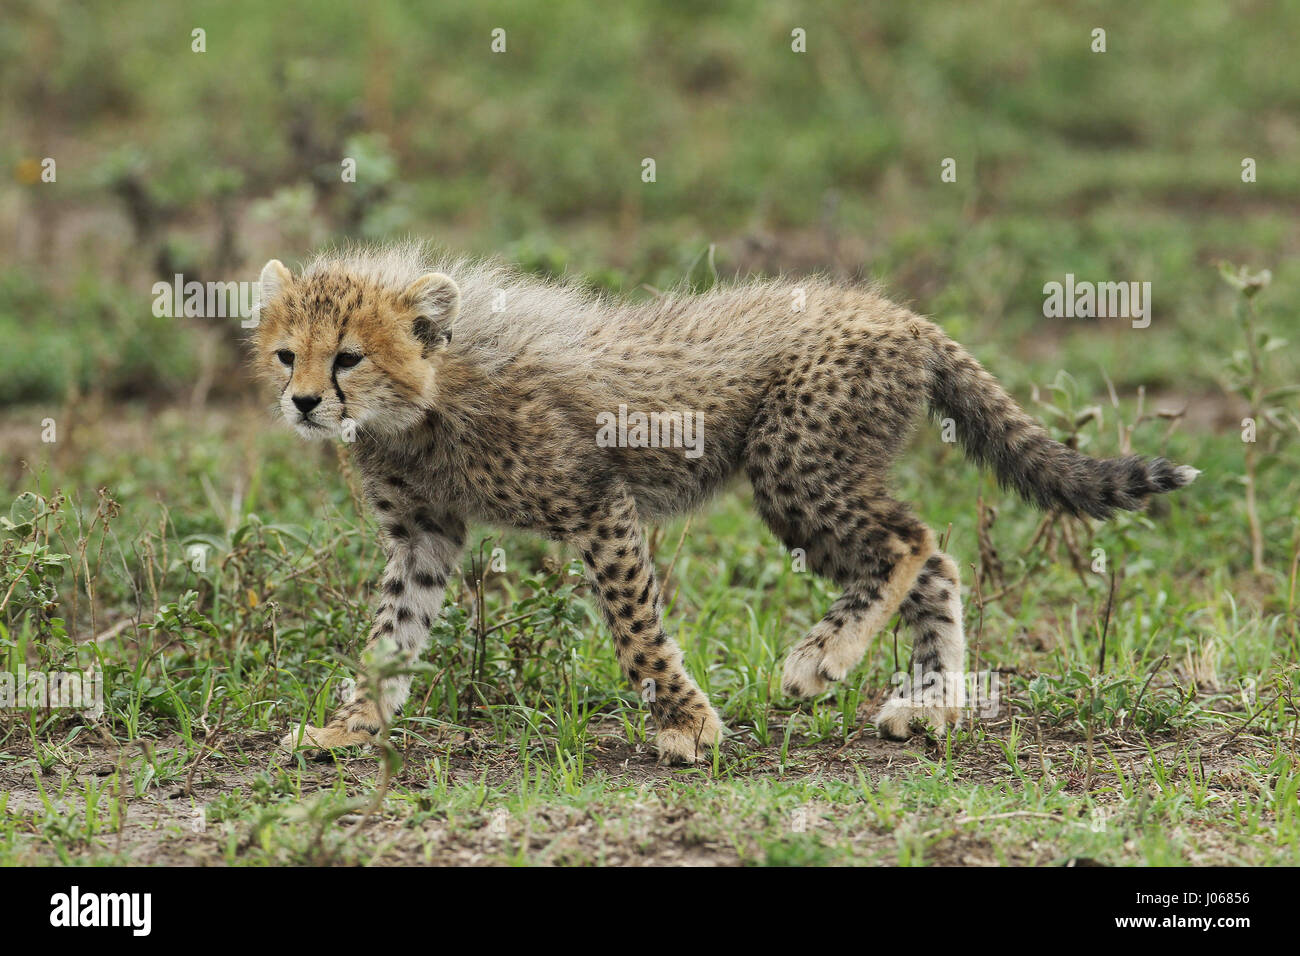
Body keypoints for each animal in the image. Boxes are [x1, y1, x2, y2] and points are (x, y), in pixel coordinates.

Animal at [250, 243, 1197, 763]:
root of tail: (898, 313)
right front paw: (350, 730)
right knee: (937, 561)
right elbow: (390, 638)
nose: (302, 402)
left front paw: (687, 726)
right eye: (288, 353)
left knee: (910, 540)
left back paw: (824, 658)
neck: (425, 402)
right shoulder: (424, 539)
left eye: (348, 357)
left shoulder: (596, 502)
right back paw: (930, 705)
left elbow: (635, 628)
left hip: (794, 464)